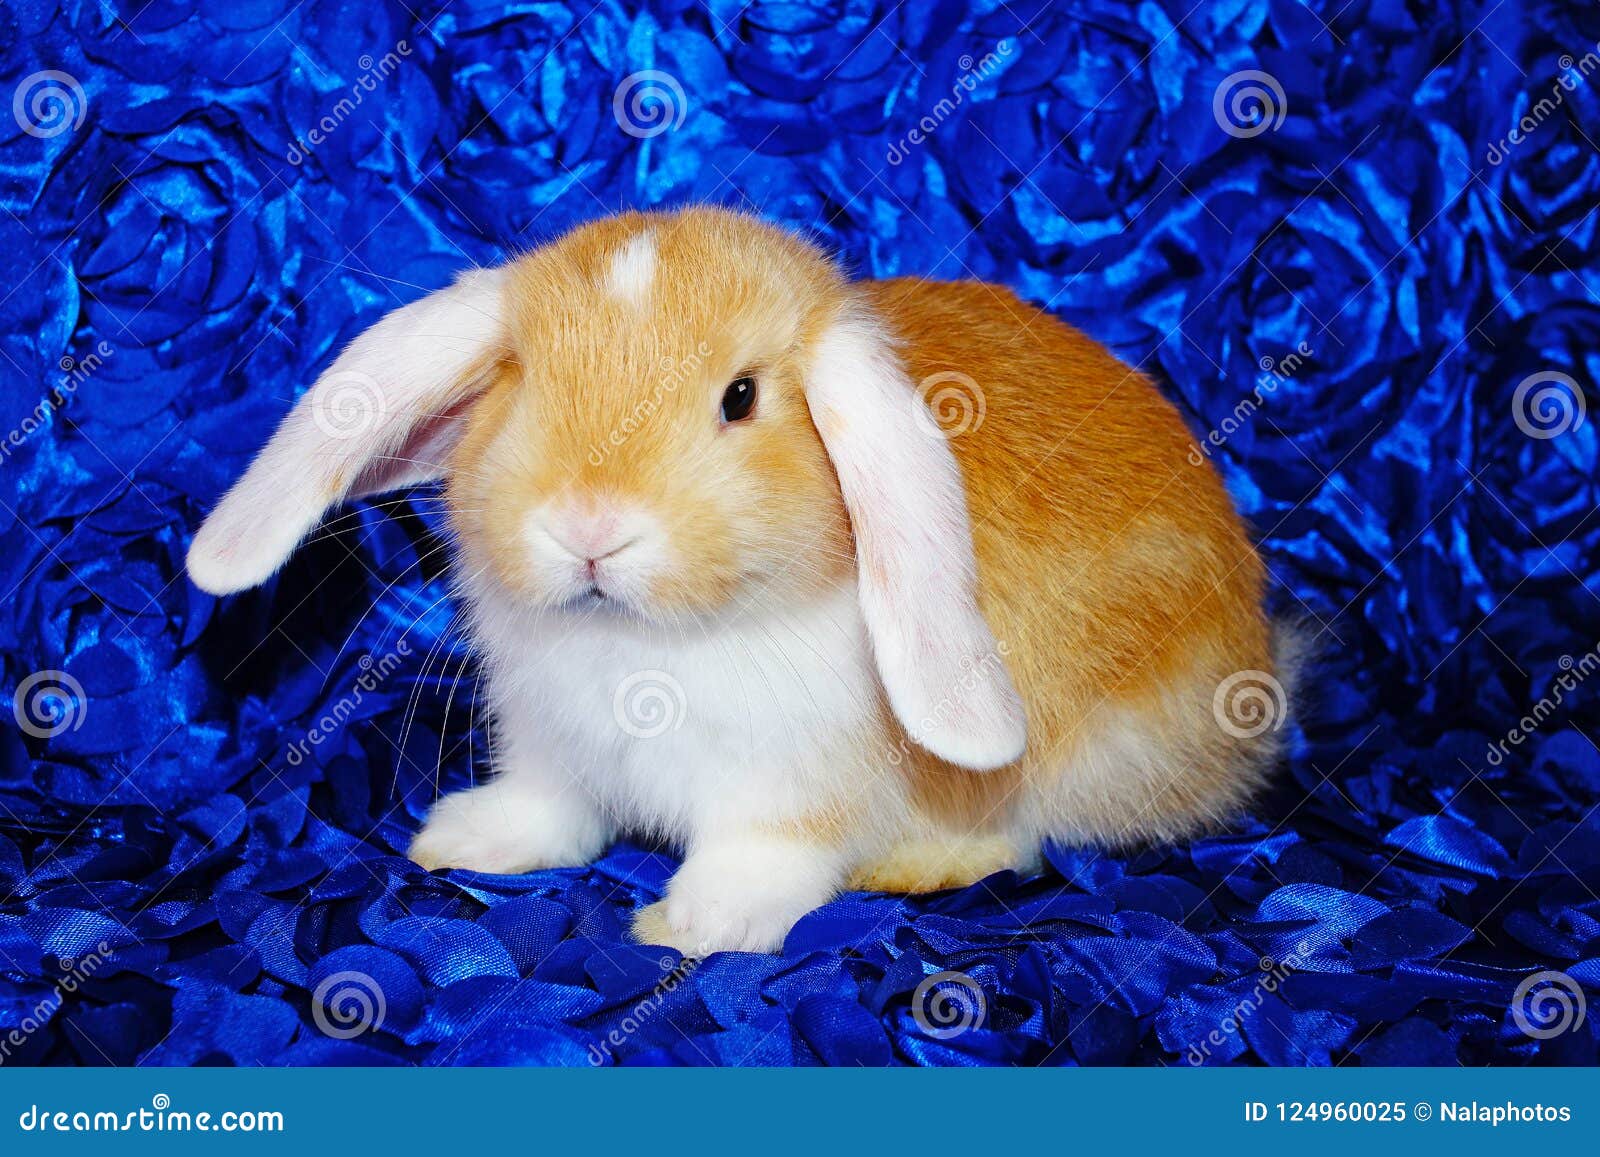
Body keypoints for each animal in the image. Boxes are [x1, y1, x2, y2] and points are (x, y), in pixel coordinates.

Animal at [188, 207, 1285, 955]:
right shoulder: (552, 748)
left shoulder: (787, 792)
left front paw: (690, 922)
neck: (644, 642)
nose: (590, 525)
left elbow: (763, 857)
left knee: (1026, 837)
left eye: (741, 397)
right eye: (523, 380)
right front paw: (464, 840)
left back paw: (923, 863)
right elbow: (552, 809)